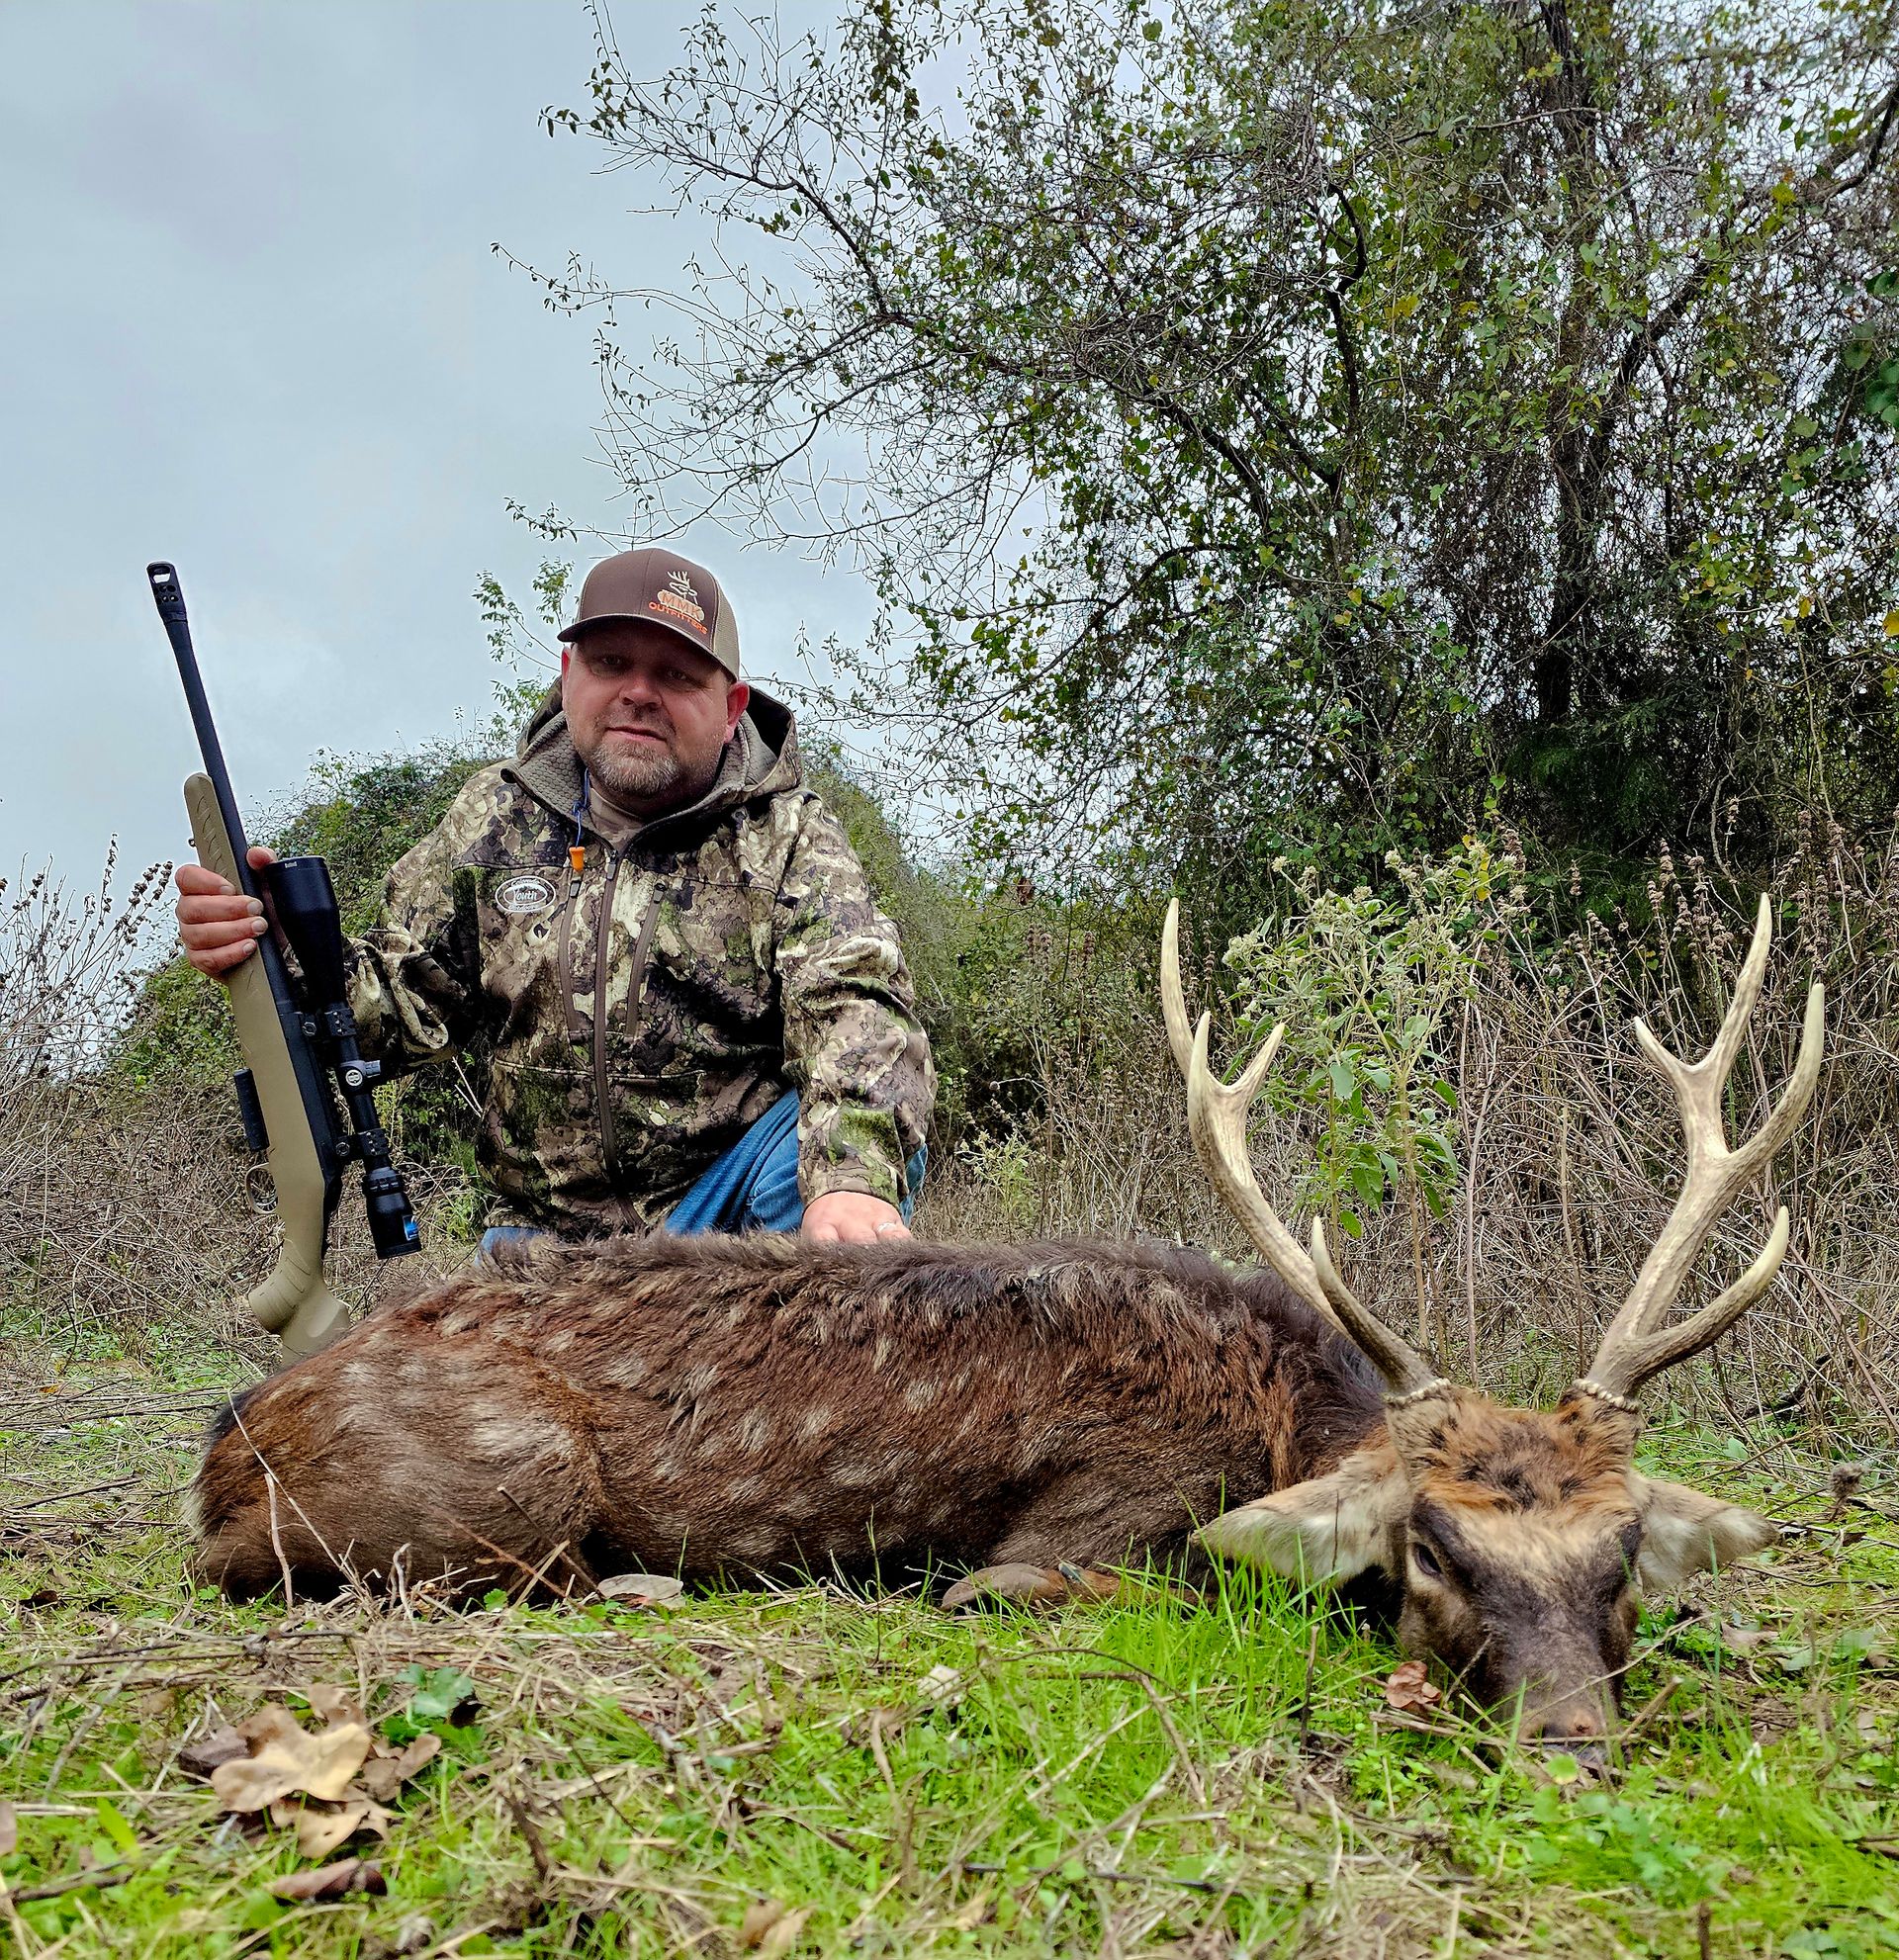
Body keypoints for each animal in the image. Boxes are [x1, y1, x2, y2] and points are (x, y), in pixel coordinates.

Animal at [190, 896, 1822, 1744]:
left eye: (1624, 1550)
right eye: (1431, 1546)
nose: (1572, 1744)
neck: (1278, 1415)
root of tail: (221, 1461)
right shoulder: (1073, 1537)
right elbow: (1116, 1584)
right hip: (503, 1474)